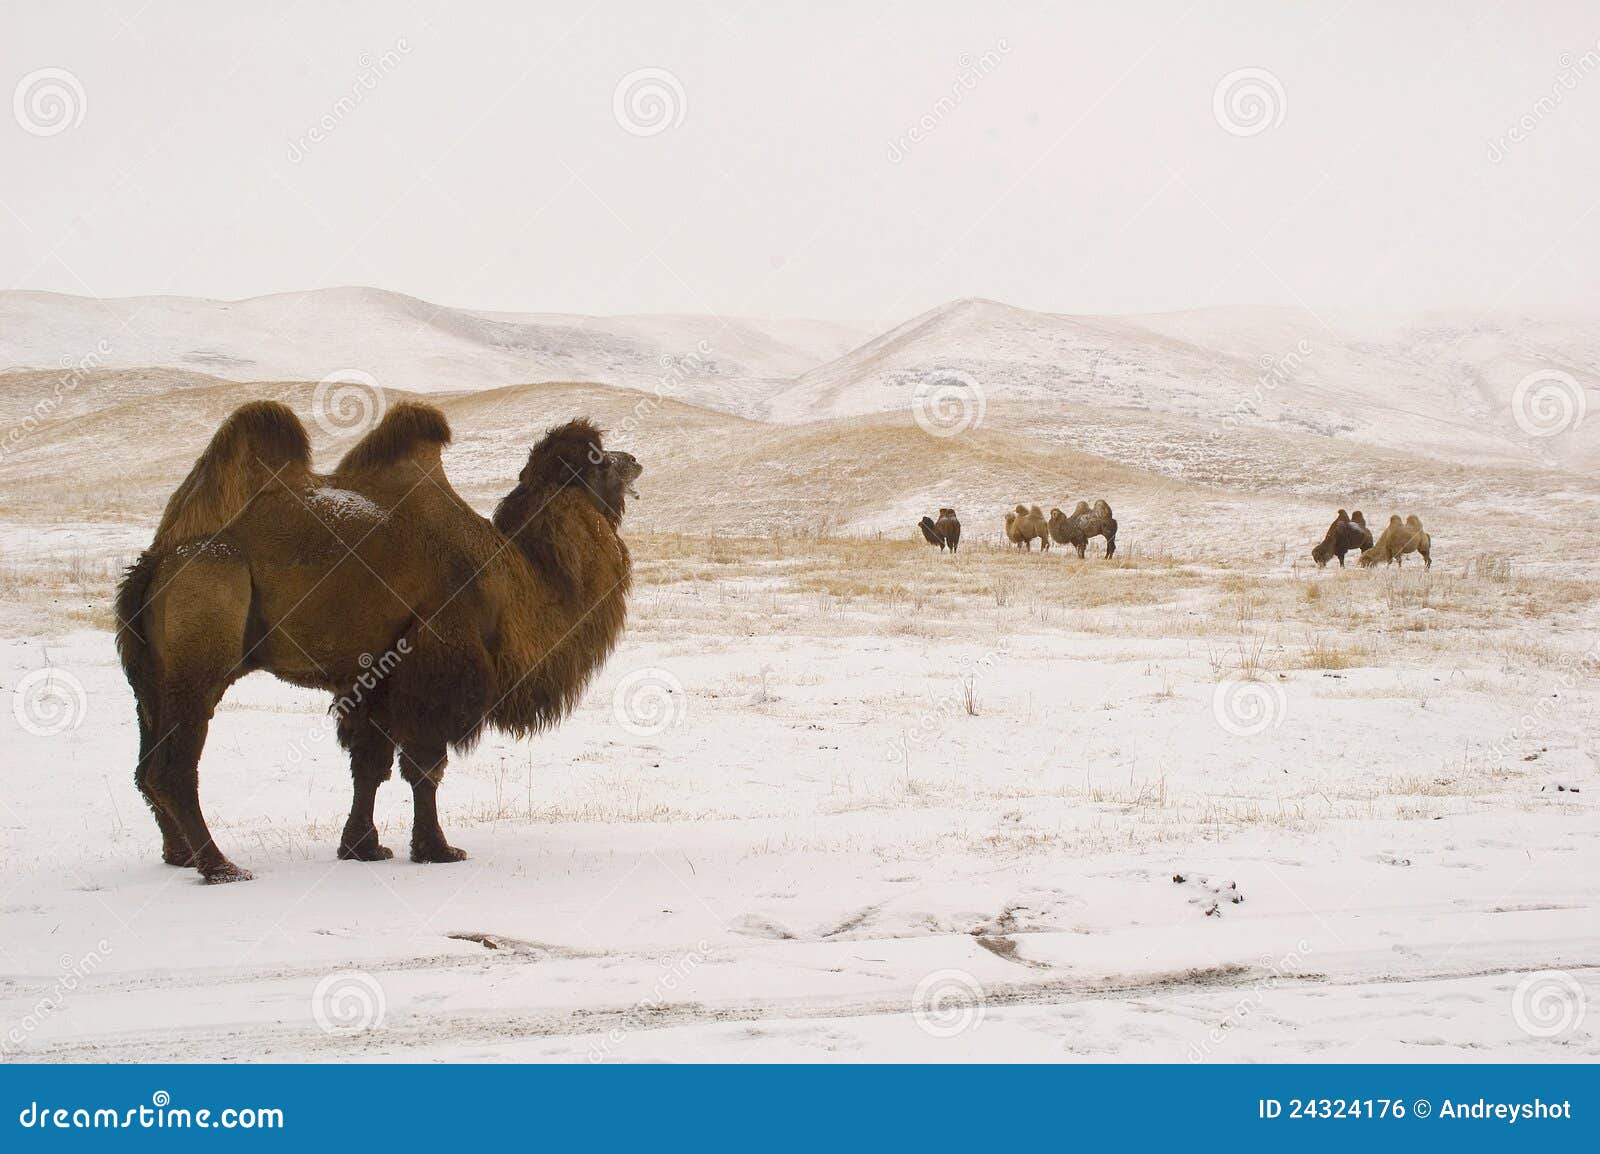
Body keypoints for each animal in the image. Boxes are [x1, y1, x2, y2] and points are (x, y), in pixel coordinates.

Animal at [114, 401, 640, 883]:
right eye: (597, 458)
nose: (634, 458)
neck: (514, 578)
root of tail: (157, 562)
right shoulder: (435, 666)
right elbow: (424, 769)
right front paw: (437, 849)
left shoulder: (372, 678)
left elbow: (370, 766)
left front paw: (363, 847)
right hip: (204, 625)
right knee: (174, 766)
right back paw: (220, 866)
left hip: (150, 676)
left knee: (146, 764)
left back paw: (179, 855)